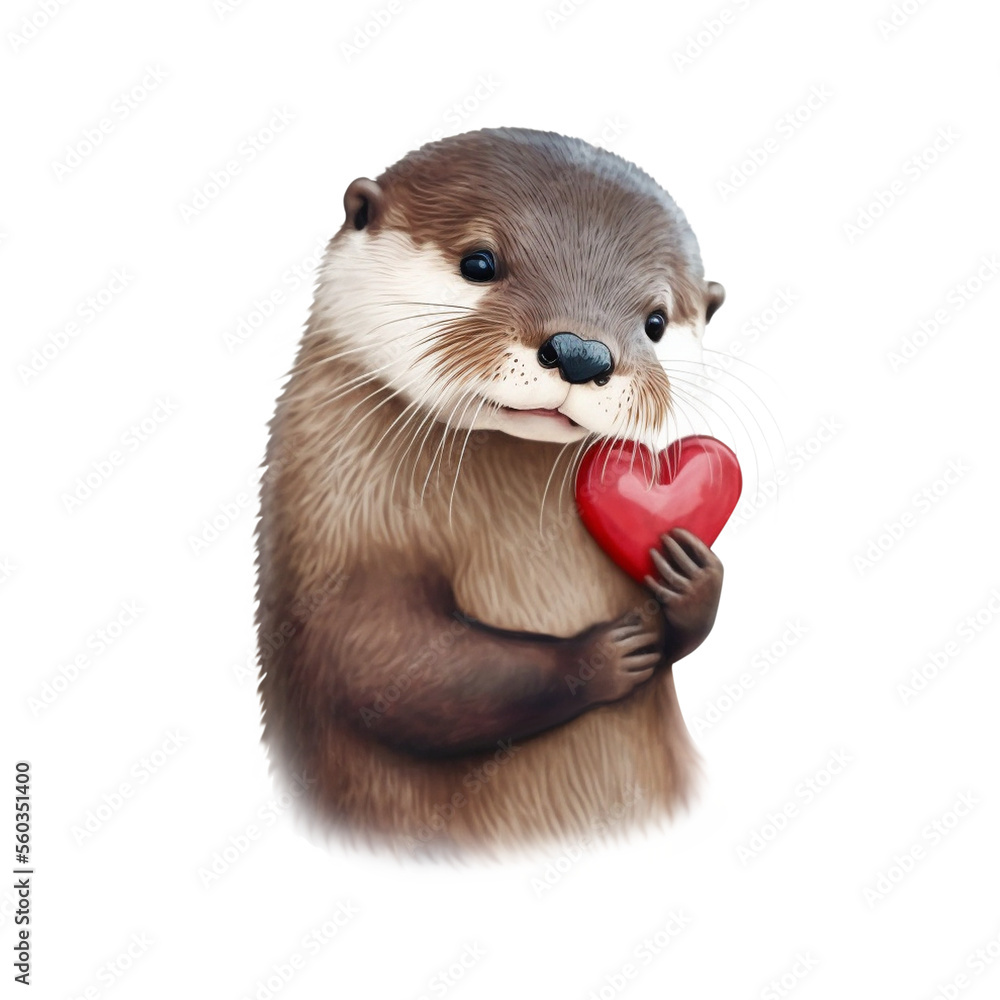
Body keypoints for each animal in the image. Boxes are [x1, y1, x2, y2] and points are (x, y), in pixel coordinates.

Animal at [256, 127, 727, 854]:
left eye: (655, 320)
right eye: (480, 262)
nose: (582, 353)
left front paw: (691, 577)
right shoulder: (333, 519)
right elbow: (381, 663)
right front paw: (602, 656)